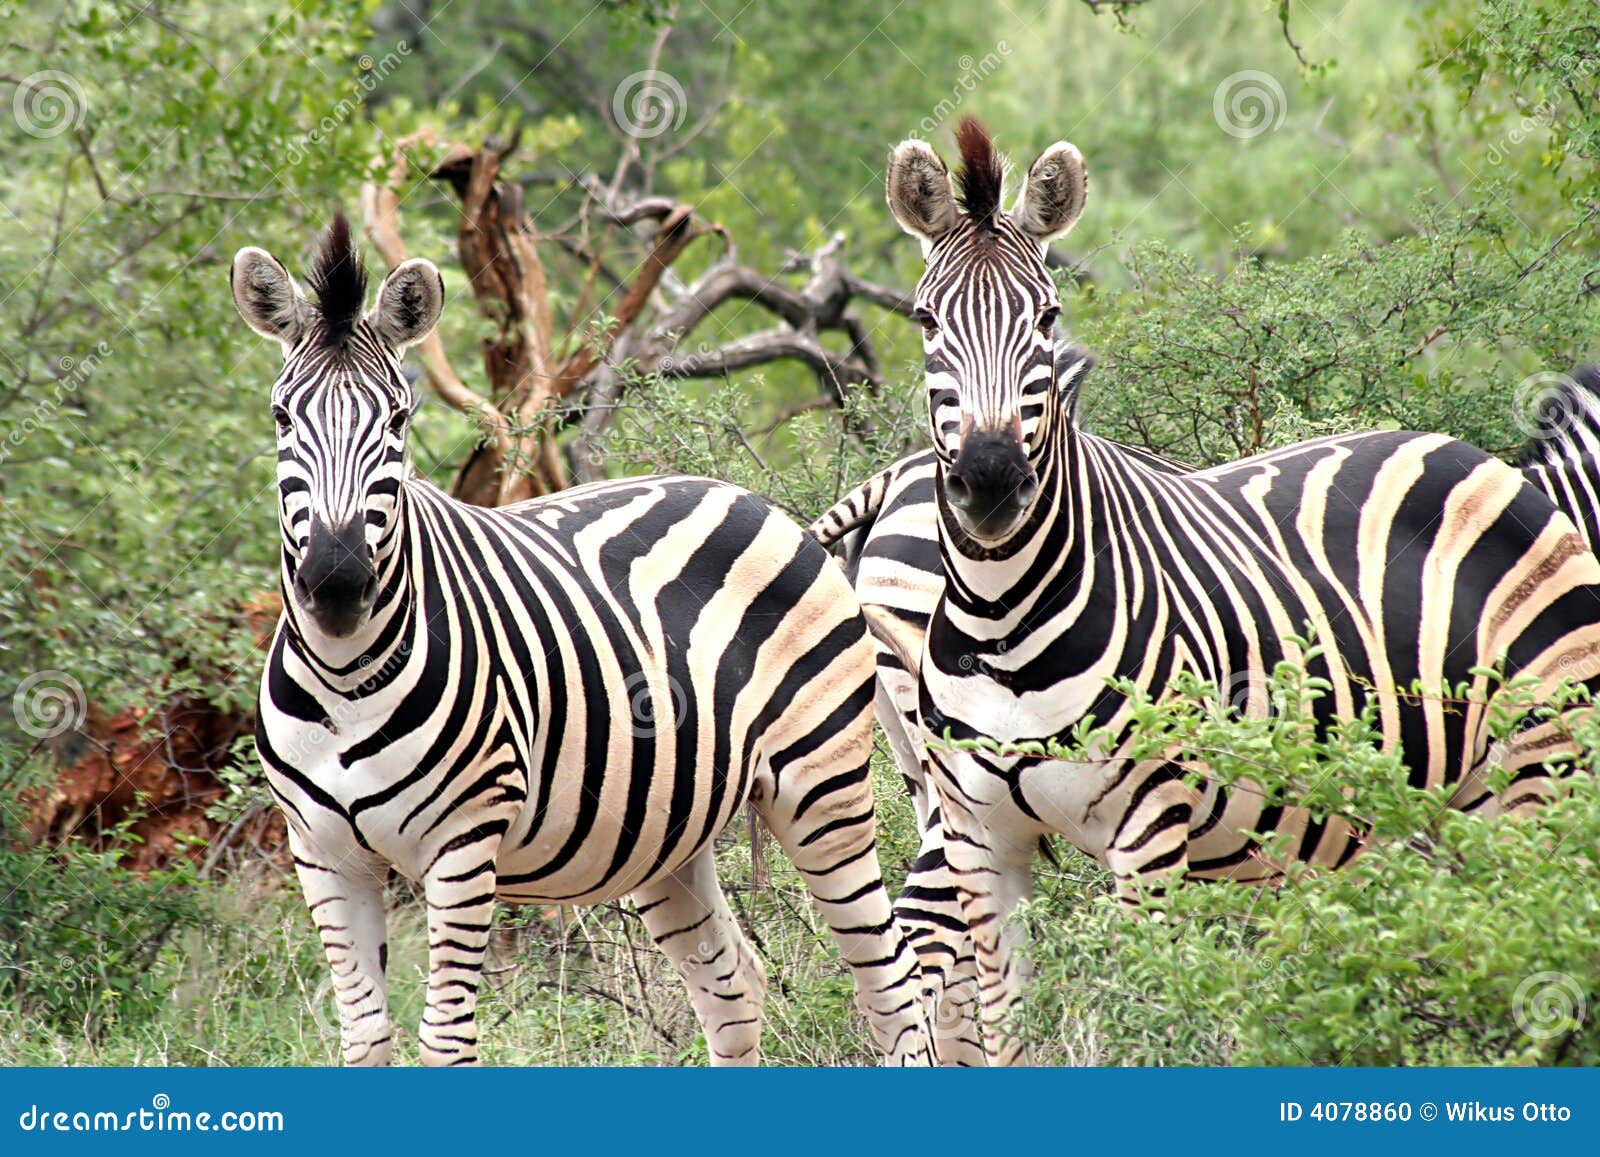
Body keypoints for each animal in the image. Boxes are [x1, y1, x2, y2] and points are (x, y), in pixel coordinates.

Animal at [231, 215, 931, 1066]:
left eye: (396, 420)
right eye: (281, 418)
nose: (335, 582)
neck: (344, 677)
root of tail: (763, 504)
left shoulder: (464, 842)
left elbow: (444, 1038)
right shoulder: (323, 855)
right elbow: (364, 1039)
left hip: (821, 784)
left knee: (891, 979)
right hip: (671, 831)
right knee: (735, 985)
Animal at [817, 117, 1600, 1065]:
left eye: (1048, 316)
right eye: (926, 320)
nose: (992, 479)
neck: (1004, 615)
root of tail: (1472, 458)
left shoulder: (1149, 829)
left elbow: (1151, 1015)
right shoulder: (983, 837)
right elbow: (1011, 1031)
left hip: (1538, 762)